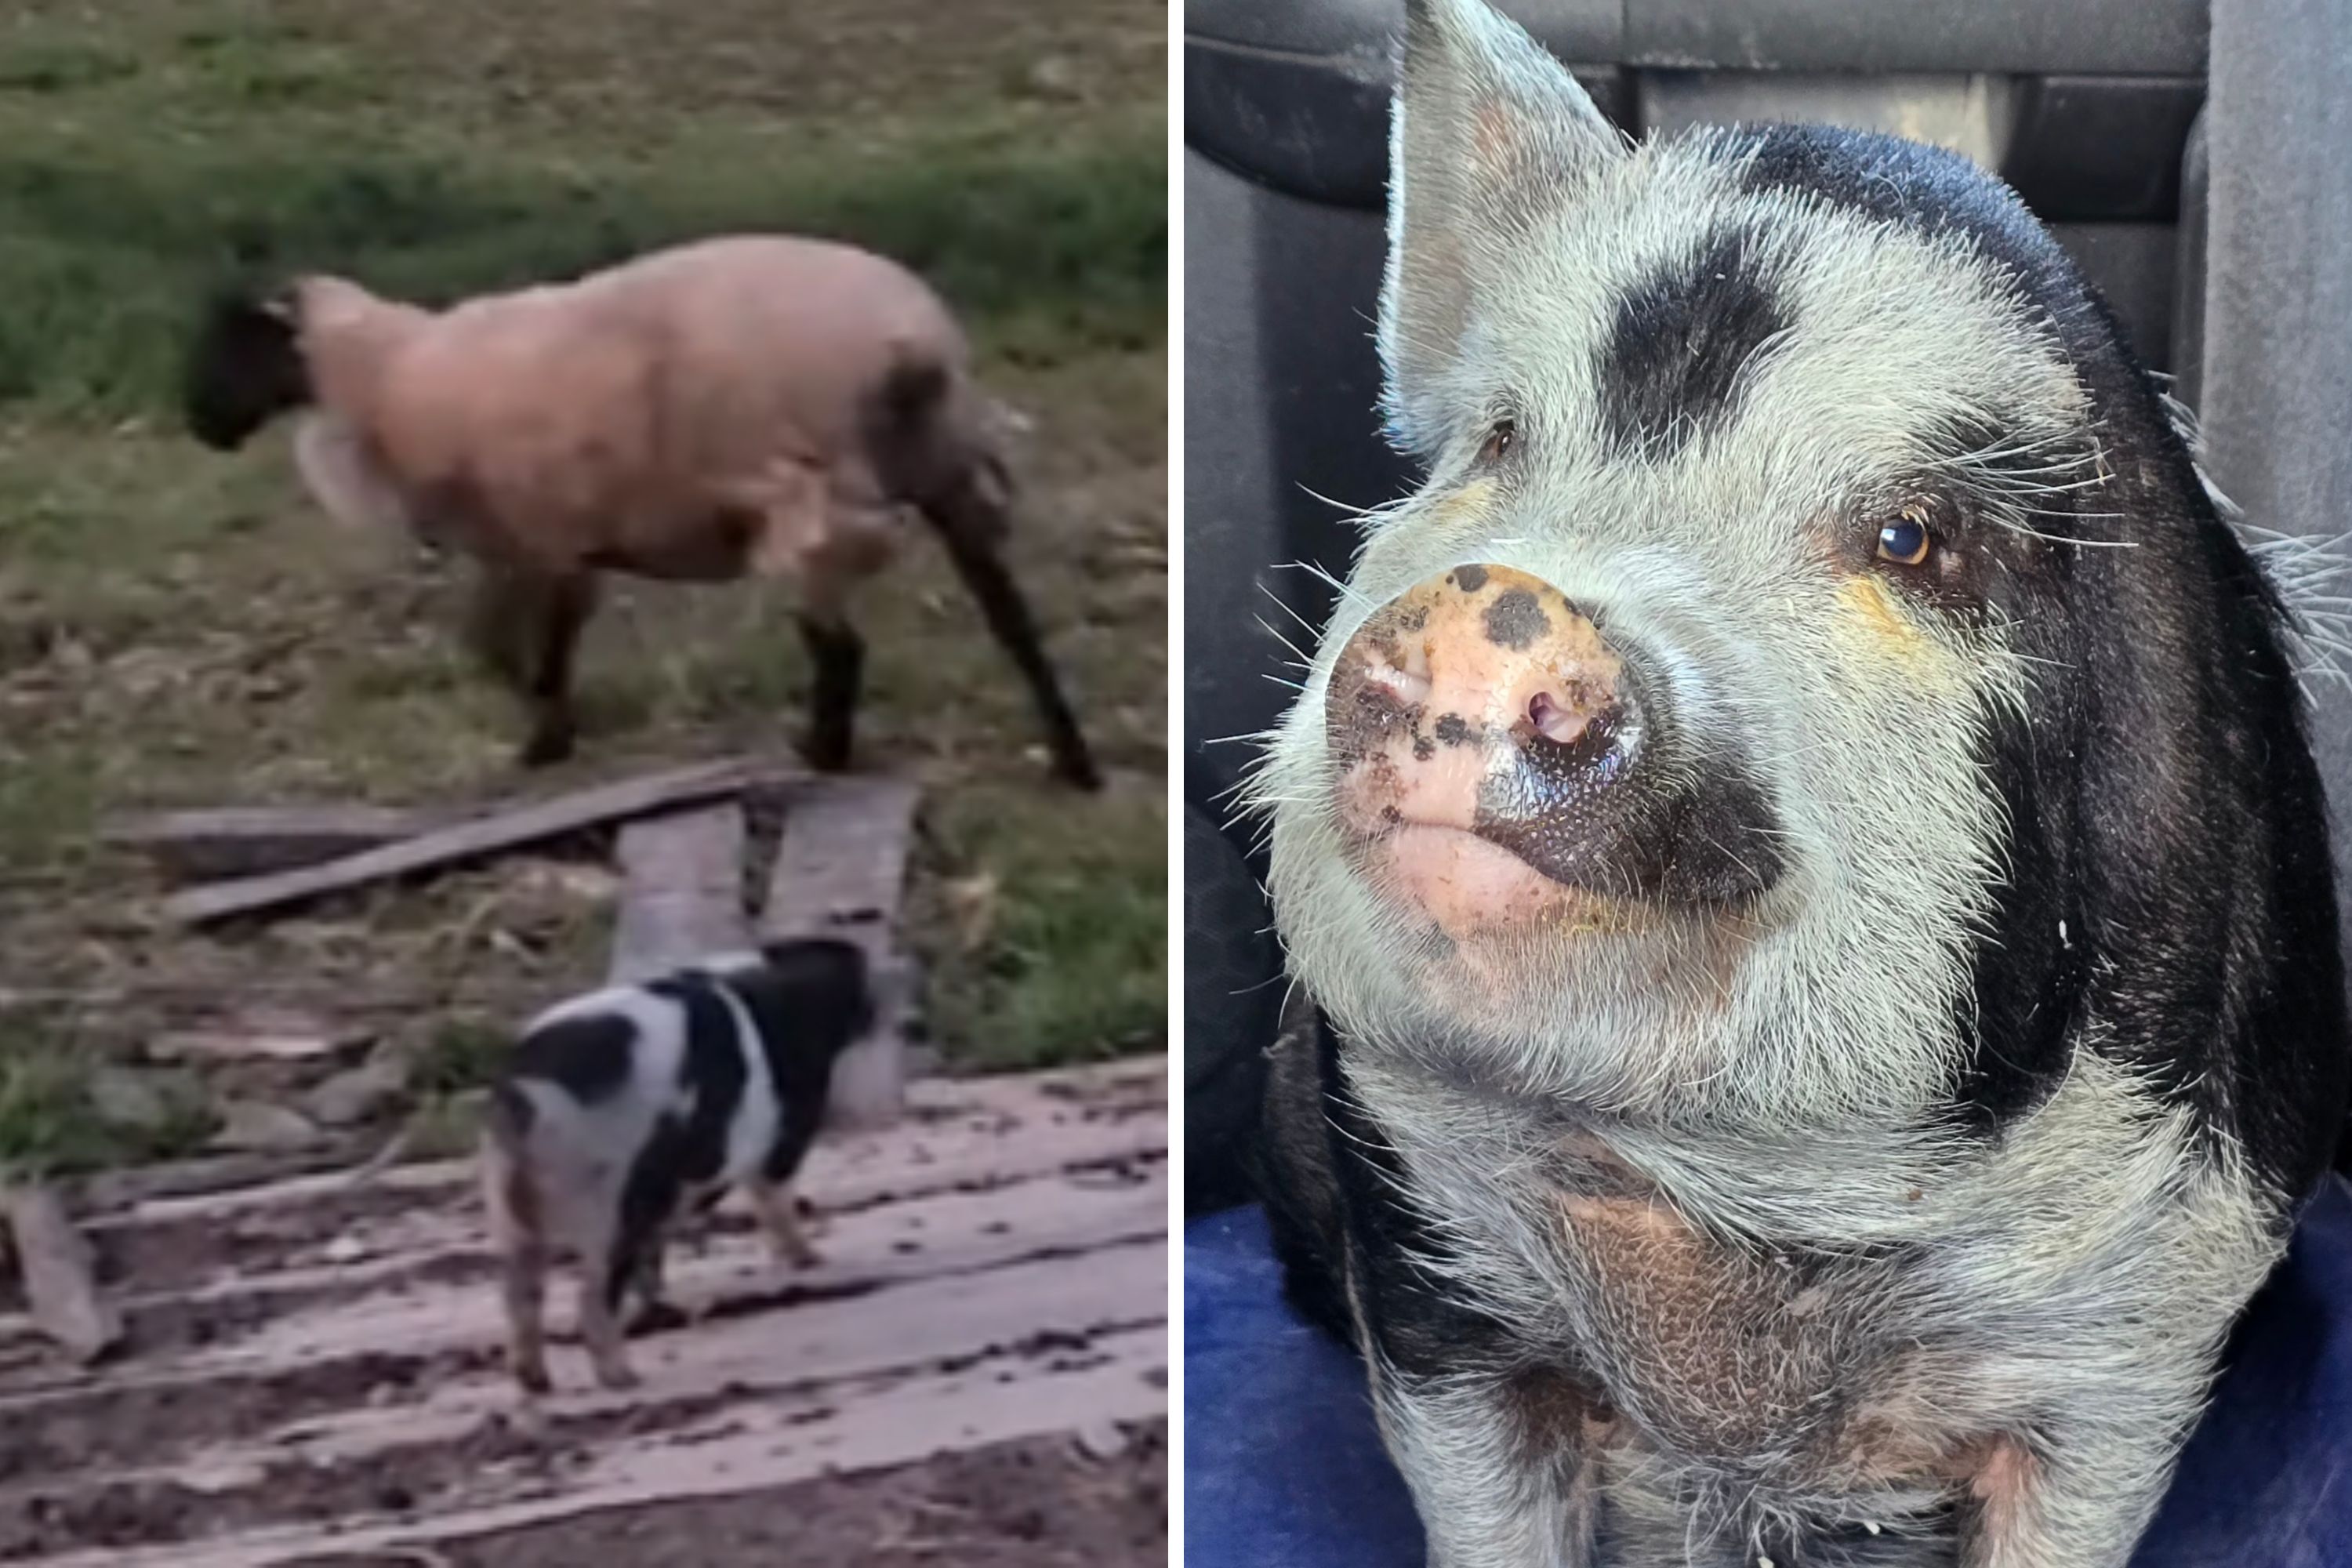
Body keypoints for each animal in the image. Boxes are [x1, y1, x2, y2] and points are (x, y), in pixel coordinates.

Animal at [180, 236, 1102, 787]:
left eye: (234, 341)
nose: (201, 427)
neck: (382, 376)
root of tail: (914, 347)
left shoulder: (536, 537)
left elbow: (516, 648)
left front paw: (546, 735)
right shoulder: (546, 541)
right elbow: (515, 641)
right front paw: (553, 728)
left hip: (812, 499)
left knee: (840, 647)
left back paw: (823, 757)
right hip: (947, 475)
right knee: (1012, 623)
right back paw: (1073, 761)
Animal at [480, 937, 892, 1394]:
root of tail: (526, 1097)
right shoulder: (784, 1136)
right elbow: (775, 1199)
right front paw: (811, 1260)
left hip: (511, 1219)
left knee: (518, 1295)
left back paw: (537, 1381)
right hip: (612, 1205)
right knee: (591, 1296)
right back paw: (624, 1378)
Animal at [1242, 0, 2352, 1563]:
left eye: (1910, 538)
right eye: (1502, 441)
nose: (1494, 600)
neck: (1747, 1201)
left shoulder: (2145, 1335)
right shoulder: (1427, 1283)